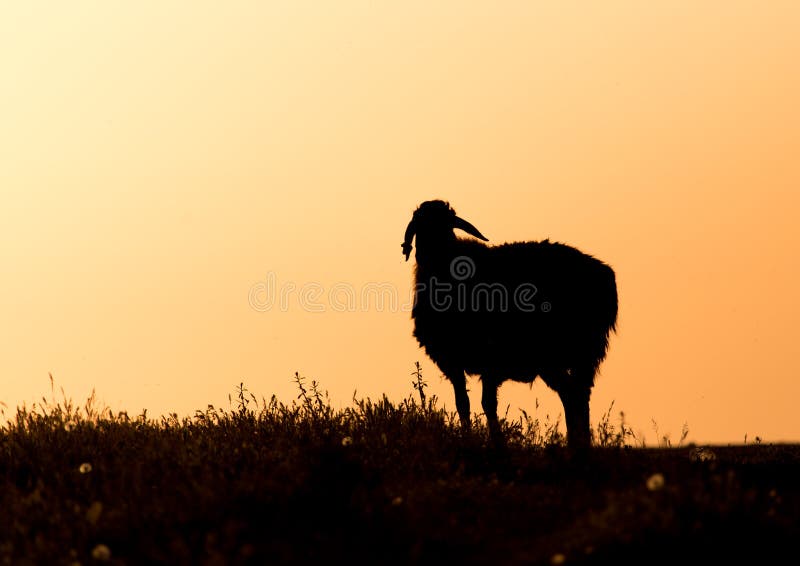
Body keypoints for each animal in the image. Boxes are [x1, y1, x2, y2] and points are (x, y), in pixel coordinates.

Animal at [402, 200, 618, 448]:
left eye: (447, 224)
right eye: (420, 225)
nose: (428, 255)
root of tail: (604, 273)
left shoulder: (489, 360)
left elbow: (488, 403)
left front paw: (497, 442)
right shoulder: (452, 361)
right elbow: (463, 403)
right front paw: (469, 438)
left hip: (563, 353)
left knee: (574, 395)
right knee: (575, 395)